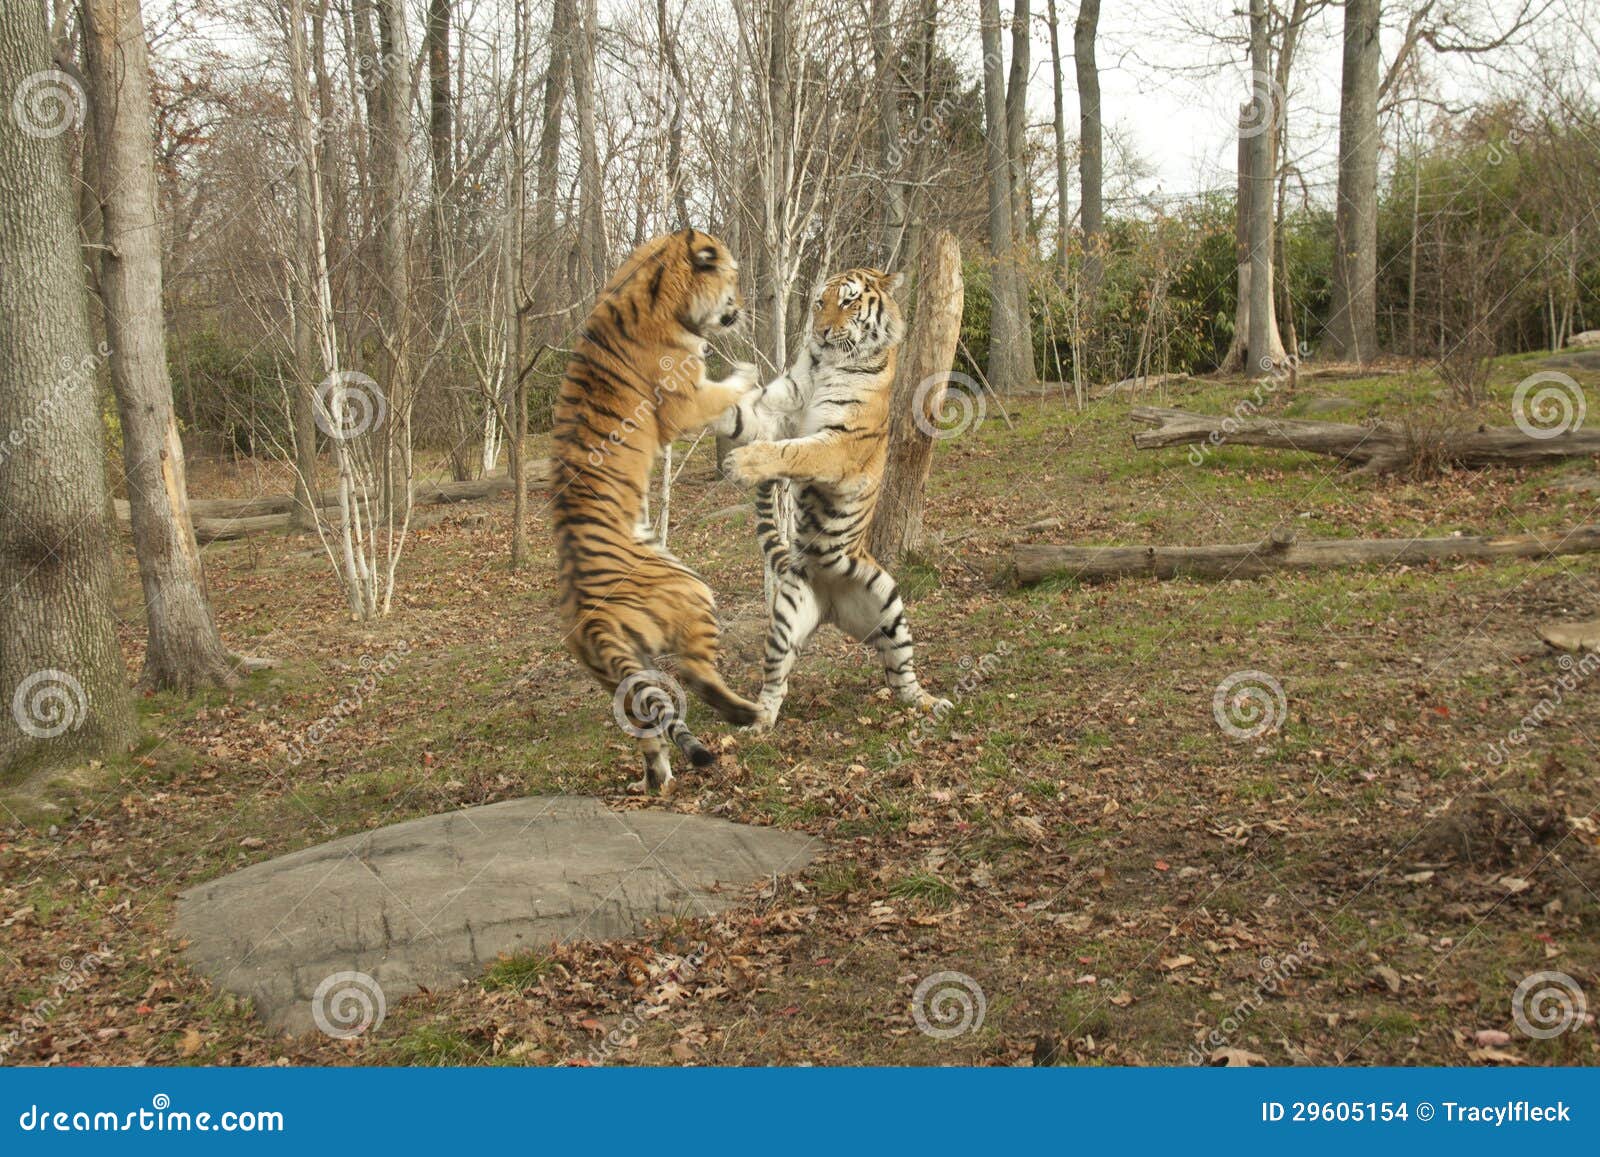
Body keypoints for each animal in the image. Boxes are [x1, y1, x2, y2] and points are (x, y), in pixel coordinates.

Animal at [551, 228, 763, 794]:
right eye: (733, 278)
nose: (742, 306)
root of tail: (590, 620)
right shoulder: (684, 400)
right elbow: (728, 396)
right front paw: (749, 375)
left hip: (617, 672)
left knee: (645, 723)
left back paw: (657, 778)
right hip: (693, 589)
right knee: (695, 673)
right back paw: (748, 713)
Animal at [716, 266, 951, 732]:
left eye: (848, 301)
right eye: (819, 302)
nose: (821, 332)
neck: (827, 364)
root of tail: (832, 609)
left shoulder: (837, 444)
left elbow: (793, 451)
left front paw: (744, 463)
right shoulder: (776, 411)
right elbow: (741, 414)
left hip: (890, 605)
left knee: (902, 676)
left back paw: (930, 704)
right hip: (785, 620)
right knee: (776, 682)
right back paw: (758, 724)